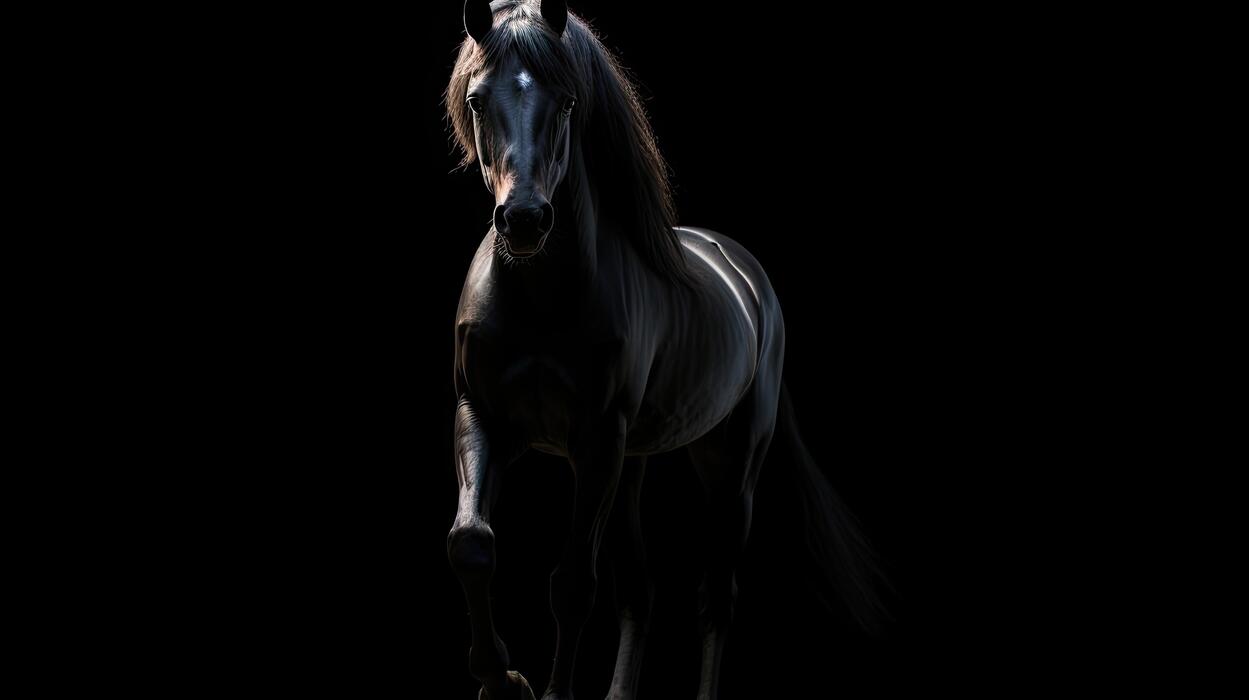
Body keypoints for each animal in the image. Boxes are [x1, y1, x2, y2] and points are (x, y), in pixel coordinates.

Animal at [444, 2, 887, 698]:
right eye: (476, 99)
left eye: (567, 102)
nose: (524, 220)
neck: (540, 298)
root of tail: (745, 272)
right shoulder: (484, 419)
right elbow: (472, 543)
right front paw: (502, 678)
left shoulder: (597, 441)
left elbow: (572, 584)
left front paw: (546, 689)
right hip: (633, 465)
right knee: (638, 591)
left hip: (730, 468)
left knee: (716, 597)